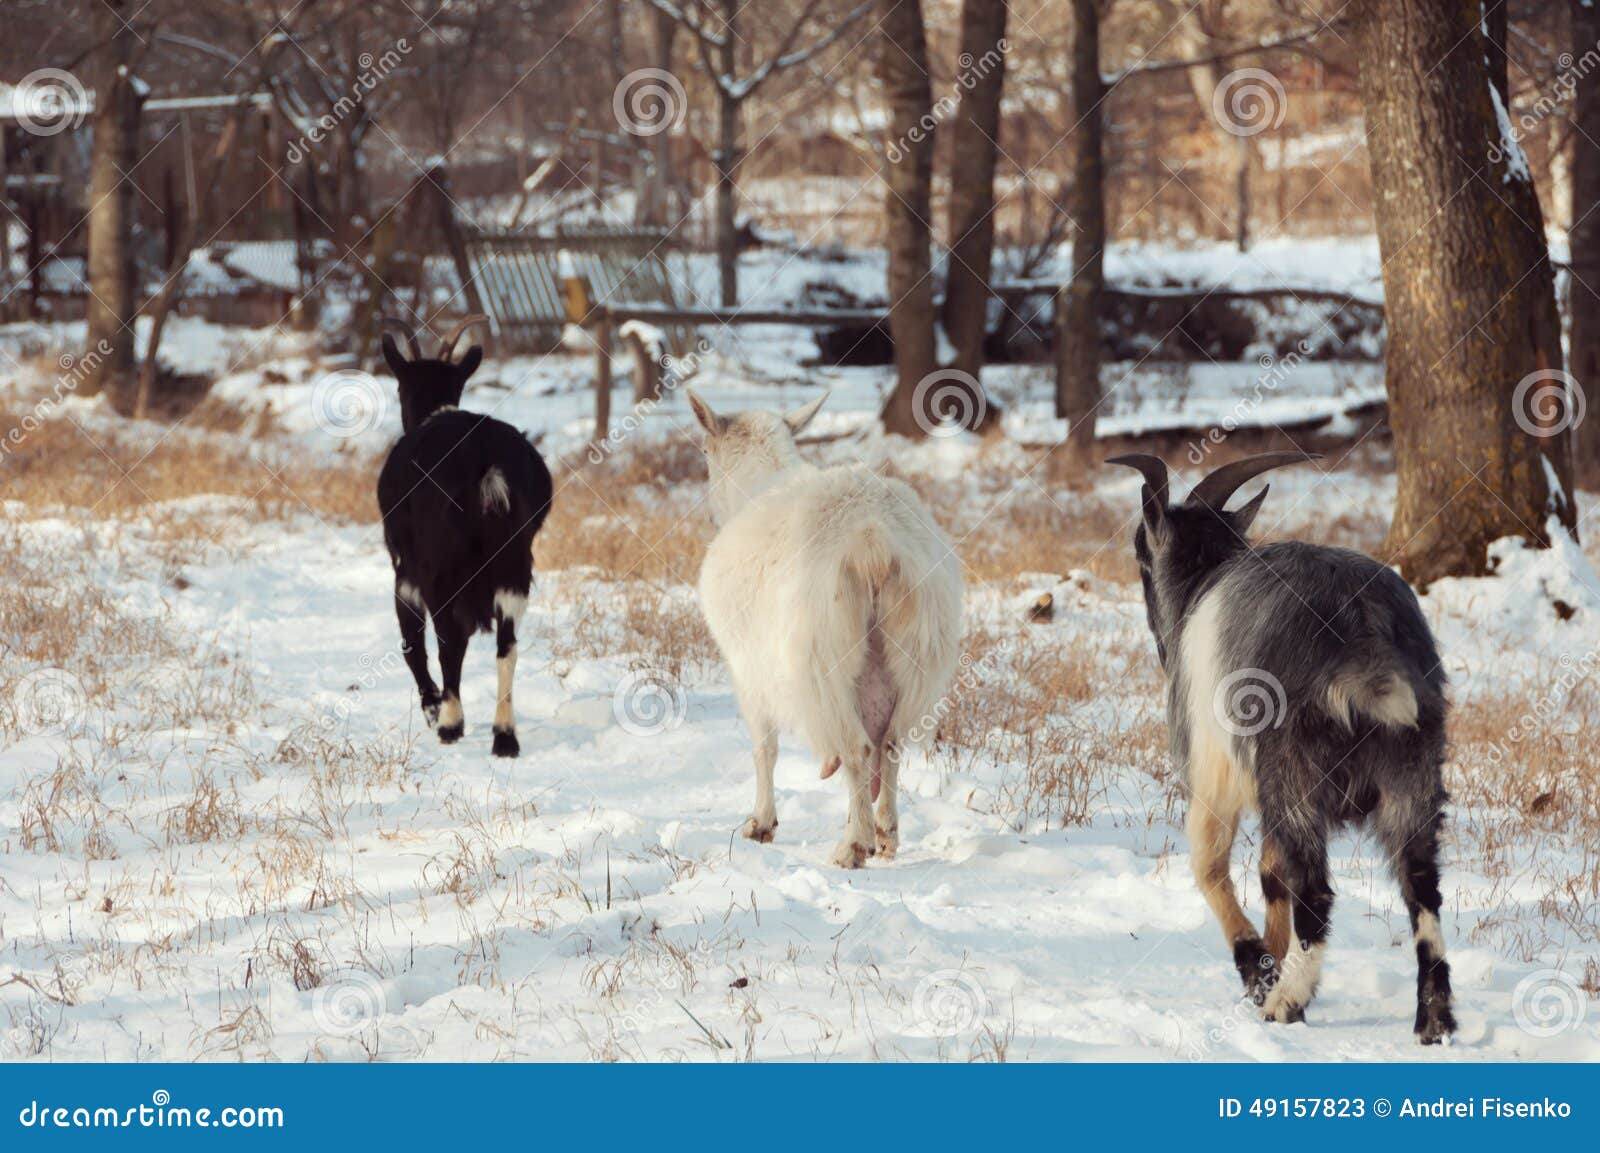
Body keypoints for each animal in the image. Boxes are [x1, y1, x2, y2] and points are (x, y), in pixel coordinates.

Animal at [376, 316, 553, 758]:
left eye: (398, 387)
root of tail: (485, 465)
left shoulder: (405, 571)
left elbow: (412, 643)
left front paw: (433, 709)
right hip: (514, 565)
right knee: (507, 646)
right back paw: (504, 736)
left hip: (442, 569)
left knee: (447, 643)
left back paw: (451, 723)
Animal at [687, 389, 962, 868]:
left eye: (705, 452)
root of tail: (872, 541)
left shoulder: (747, 670)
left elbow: (765, 747)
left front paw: (761, 823)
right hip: (918, 650)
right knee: (890, 745)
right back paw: (885, 835)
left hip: (824, 656)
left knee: (857, 748)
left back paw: (853, 845)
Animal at [1109, 451, 1455, 1043]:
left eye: (1139, 555)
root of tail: (1362, 634)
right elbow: (1272, 876)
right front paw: (1269, 964)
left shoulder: (1214, 768)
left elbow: (1209, 864)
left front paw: (1257, 970)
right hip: (1412, 772)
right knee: (1420, 886)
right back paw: (1433, 1020)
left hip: (1293, 771)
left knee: (1316, 893)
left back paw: (1287, 1004)